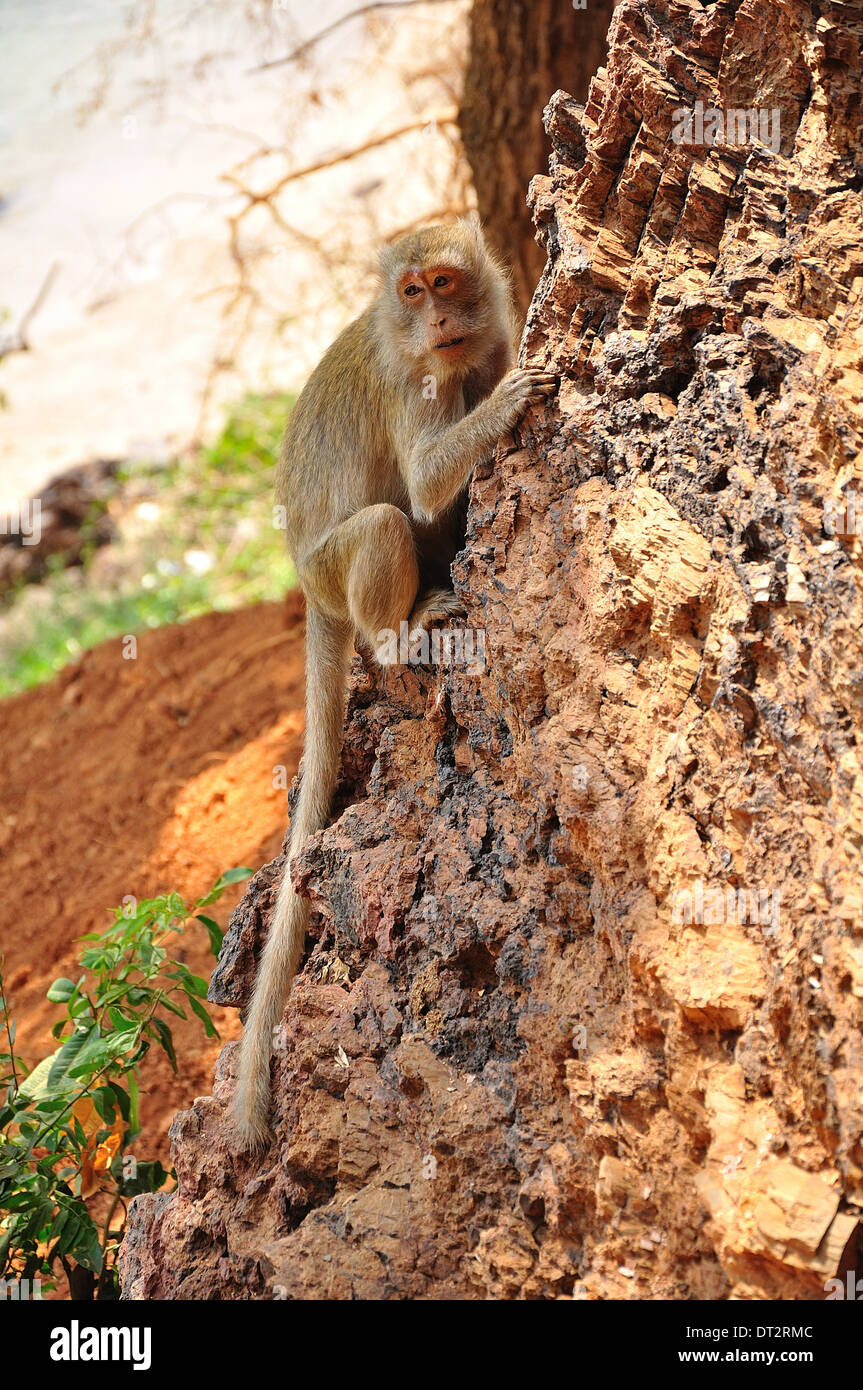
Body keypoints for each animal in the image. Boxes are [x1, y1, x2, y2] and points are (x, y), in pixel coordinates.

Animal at [232, 220, 556, 1149]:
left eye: (444, 282)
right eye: (412, 293)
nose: (438, 316)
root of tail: (304, 584)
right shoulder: (419, 378)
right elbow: (426, 477)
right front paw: (506, 401)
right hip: (335, 570)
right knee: (381, 522)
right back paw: (395, 631)